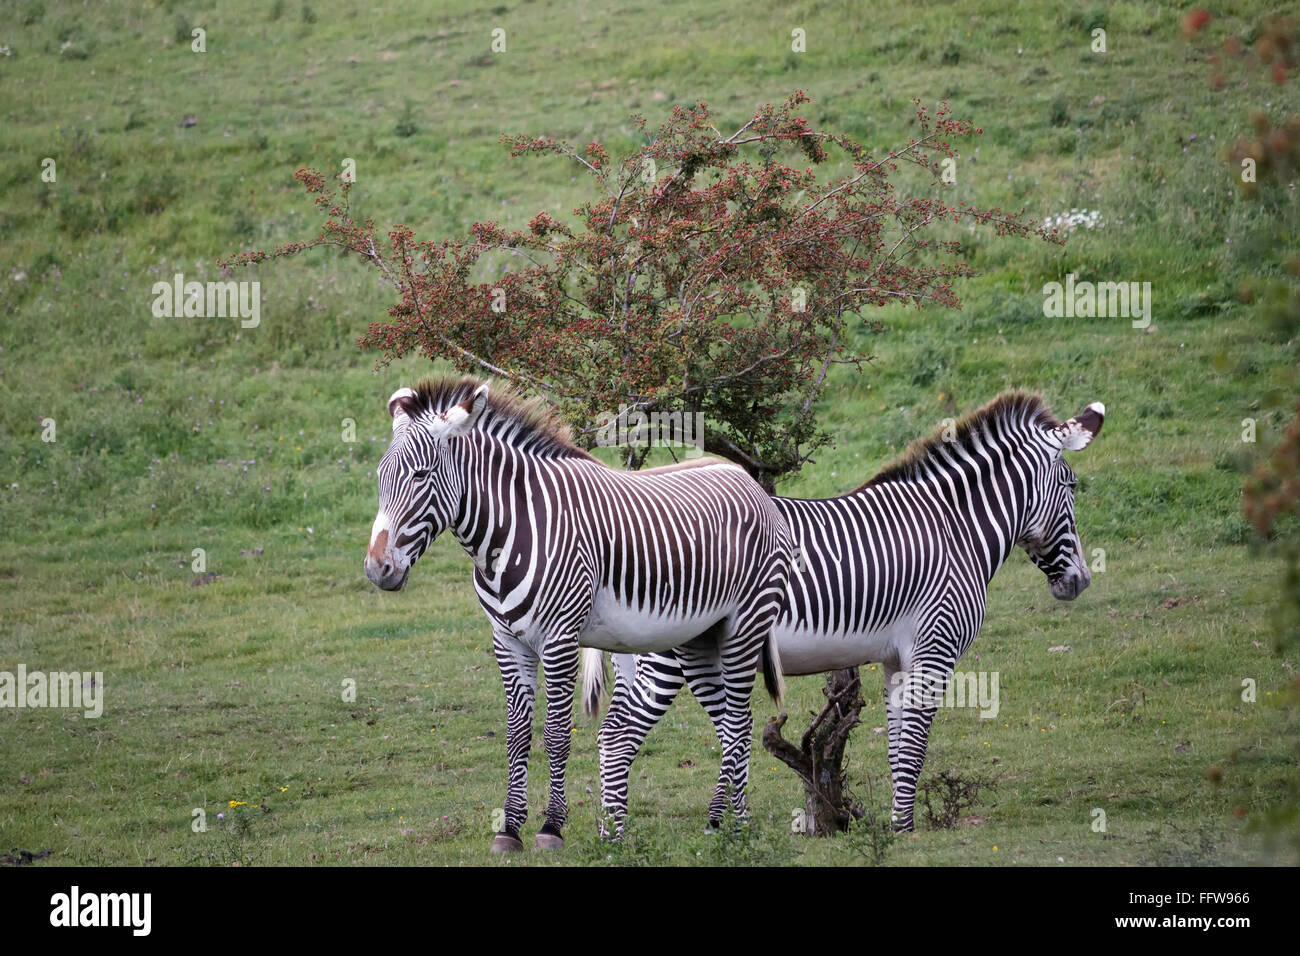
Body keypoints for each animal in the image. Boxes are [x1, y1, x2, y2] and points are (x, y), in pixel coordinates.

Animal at [362, 376, 792, 851]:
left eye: (421, 475)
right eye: (380, 478)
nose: (377, 569)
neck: (508, 535)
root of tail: (745, 478)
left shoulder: (560, 639)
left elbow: (555, 734)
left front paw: (551, 827)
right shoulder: (507, 641)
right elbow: (516, 735)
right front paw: (509, 829)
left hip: (744, 625)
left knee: (738, 721)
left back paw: (736, 825)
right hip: (699, 639)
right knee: (728, 720)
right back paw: (724, 820)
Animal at [585, 392, 1105, 831]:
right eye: (1072, 485)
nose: (1080, 581)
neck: (952, 529)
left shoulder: (897, 658)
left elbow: (898, 742)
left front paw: (896, 826)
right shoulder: (935, 646)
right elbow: (916, 741)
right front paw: (906, 830)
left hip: (637, 651)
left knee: (612, 734)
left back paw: (614, 832)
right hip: (665, 650)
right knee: (620, 737)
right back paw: (624, 837)